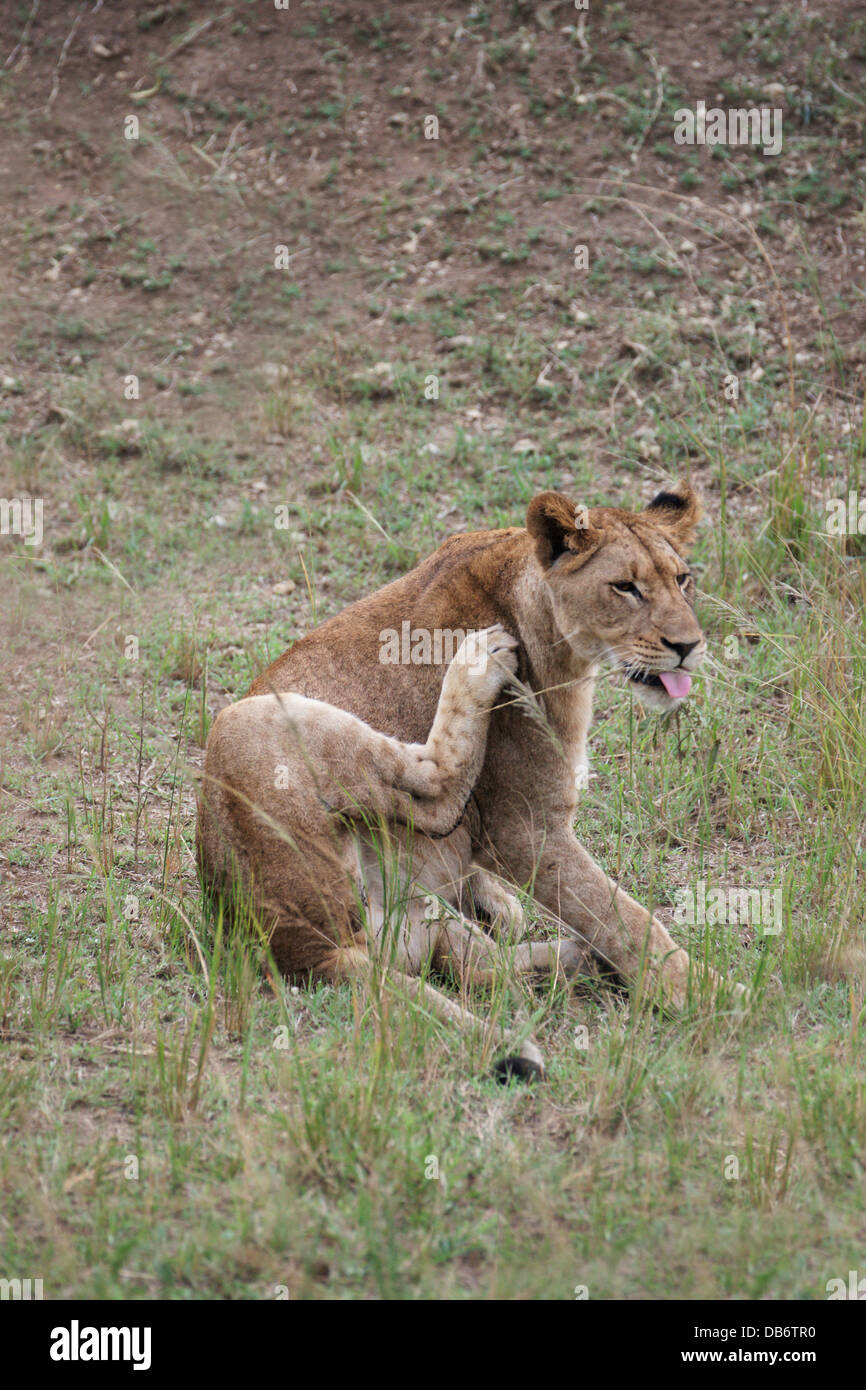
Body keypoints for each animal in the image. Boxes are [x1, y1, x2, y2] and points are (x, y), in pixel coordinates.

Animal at [196, 481, 738, 1079]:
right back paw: (477, 664)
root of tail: (305, 951)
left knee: (475, 961)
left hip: (415, 915)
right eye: (625, 587)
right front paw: (710, 994)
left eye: (682, 578)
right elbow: (625, 918)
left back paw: (566, 956)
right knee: (435, 795)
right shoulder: (524, 827)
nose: (689, 646)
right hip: (249, 720)